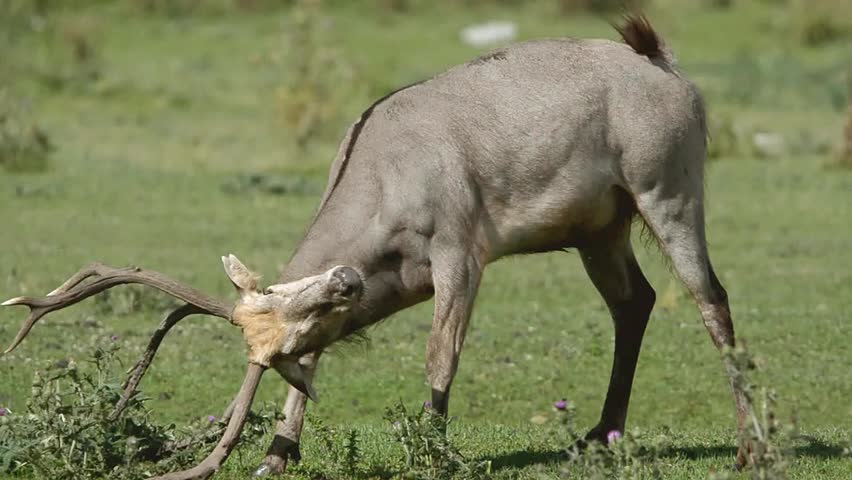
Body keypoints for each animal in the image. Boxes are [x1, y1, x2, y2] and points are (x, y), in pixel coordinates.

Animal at [1, 14, 751, 479]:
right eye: (299, 316)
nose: (344, 280)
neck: (383, 181)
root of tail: (668, 66)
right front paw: (276, 452)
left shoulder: (462, 244)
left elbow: (440, 354)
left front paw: (432, 450)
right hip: (598, 226)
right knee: (635, 300)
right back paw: (601, 436)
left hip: (667, 184)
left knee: (711, 297)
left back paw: (746, 447)